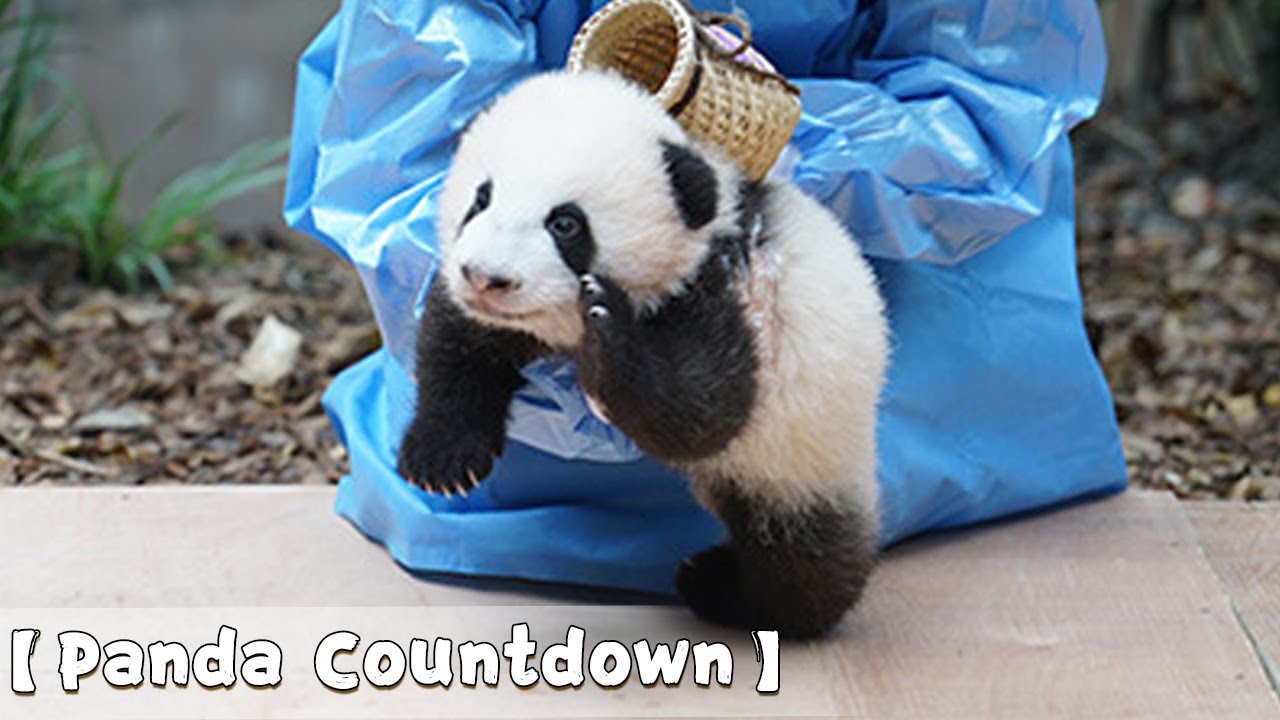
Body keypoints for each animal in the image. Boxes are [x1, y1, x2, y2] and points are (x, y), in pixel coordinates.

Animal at [396, 71, 887, 639]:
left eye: (566, 224)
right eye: (481, 199)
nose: (484, 277)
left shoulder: (722, 288)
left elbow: (702, 409)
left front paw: (607, 335)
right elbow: (457, 340)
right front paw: (441, 460)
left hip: (808, 448)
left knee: (798, 557)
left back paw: (718, 586)